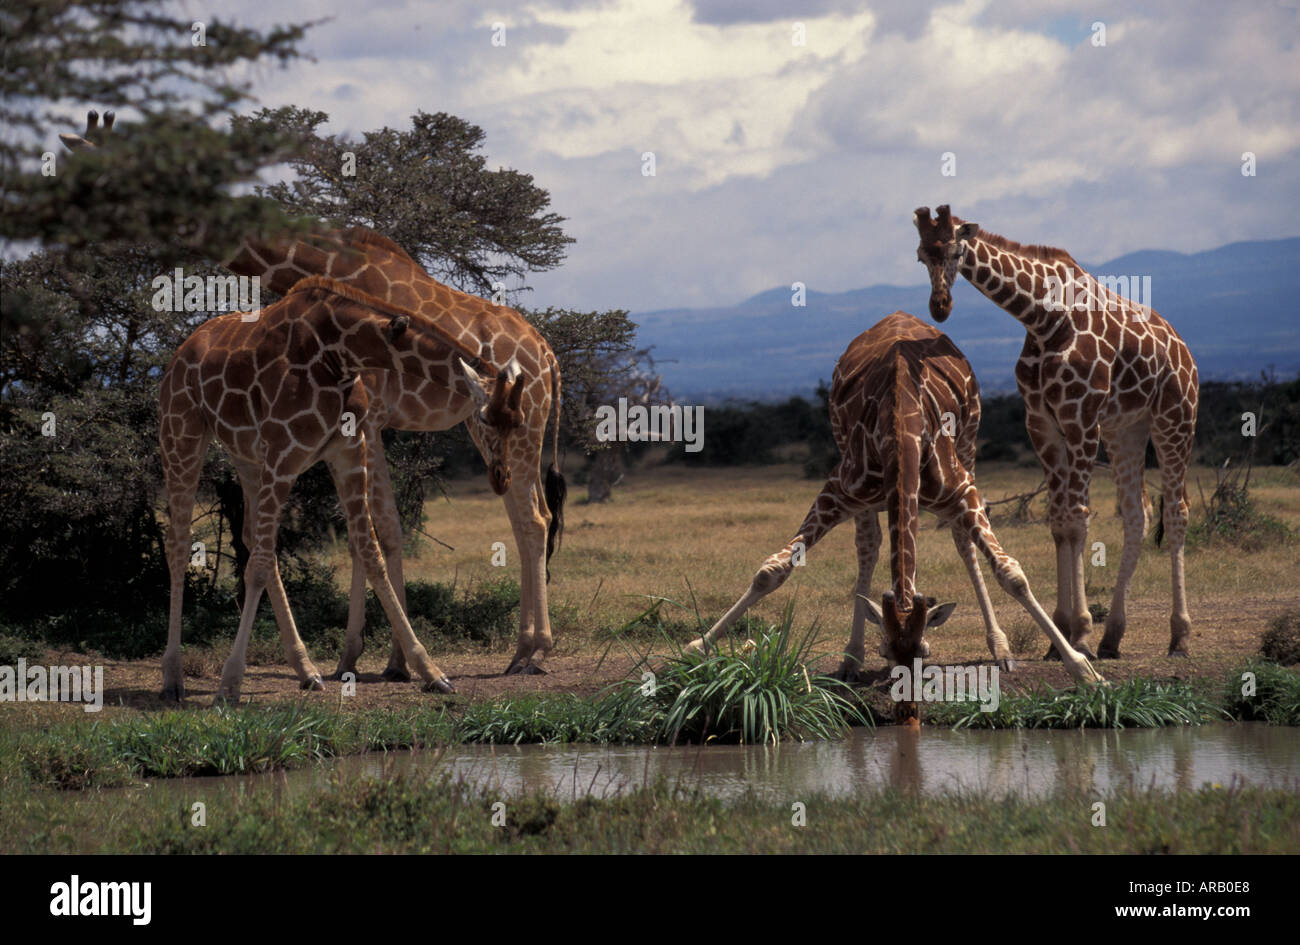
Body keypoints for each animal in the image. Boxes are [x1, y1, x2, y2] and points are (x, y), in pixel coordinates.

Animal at [157, 275, 500, 700]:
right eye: (489, 416)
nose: (501, 473)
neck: (341, 355)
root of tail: (179, 353)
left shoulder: (347, 450)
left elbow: (370, 553)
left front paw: (431, 671)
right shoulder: (285, 455)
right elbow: (256, 568)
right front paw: (229, 682)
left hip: (247, 456)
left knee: (253, 539)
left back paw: (306, 670)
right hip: (182, 434)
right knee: (180, 543)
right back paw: (172, 677)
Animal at [686, 312, 1102, 709]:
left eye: (925, 652)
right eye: (886, 650)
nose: (904, 695)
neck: (902, 431)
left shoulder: (962, 490)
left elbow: (1012, 574)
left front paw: (1083, 669)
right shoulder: (837, 490)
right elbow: (771, 571)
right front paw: (696, 647)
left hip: (969, 446)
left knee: (961, 541)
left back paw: (1000, 648)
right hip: (855, 472)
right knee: (868, 546)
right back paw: (850, 659)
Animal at [913, 205, 1199, 659]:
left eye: (956, 250)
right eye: (922, 255)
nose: (940, 307)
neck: (1043, 318)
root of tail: (1183, 347)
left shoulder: (1079, 417)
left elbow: (1077, 520)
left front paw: (1078, 631)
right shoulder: (1042, 422)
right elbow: (1059, 522)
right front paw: (1063, 633)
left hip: (1176, 418)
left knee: (1176, 511)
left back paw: (1179, 636)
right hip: (1126, 428)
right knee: (1138, 513)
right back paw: (1113, 636)